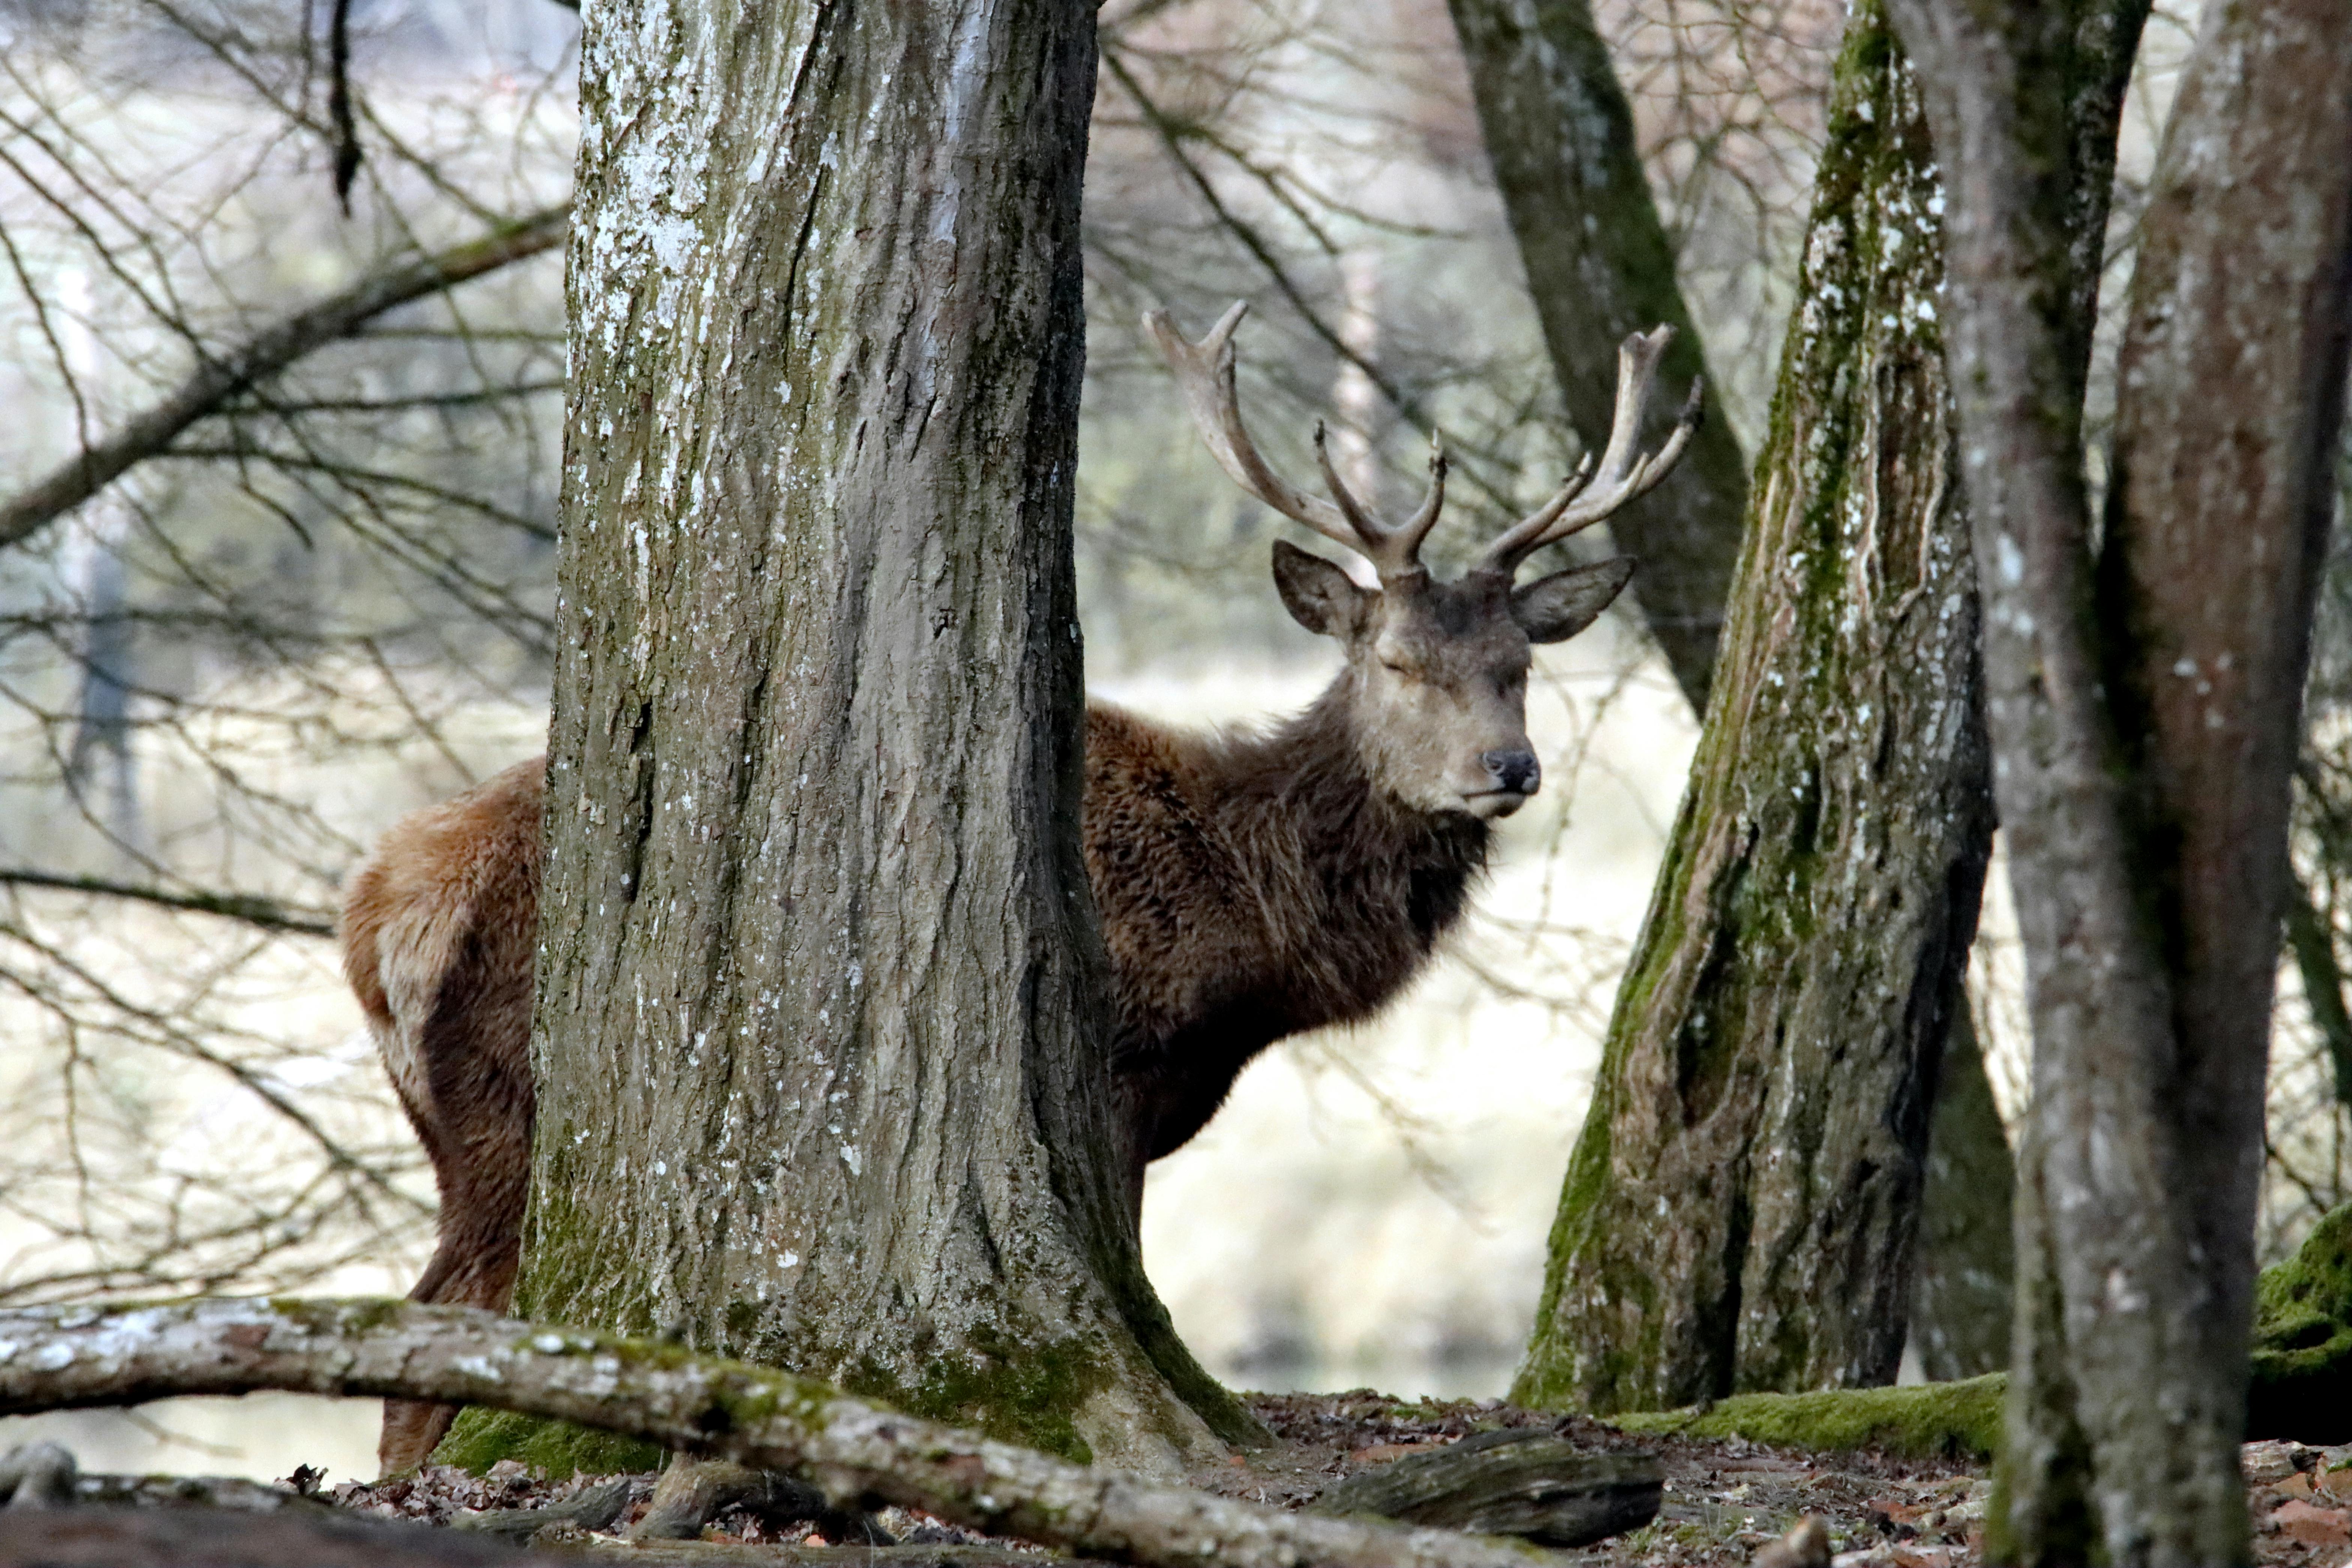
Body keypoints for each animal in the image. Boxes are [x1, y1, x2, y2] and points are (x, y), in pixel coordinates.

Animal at [341, 302, 1699, 1478]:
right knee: (439, 1317)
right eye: (1402, 663)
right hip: (507, 1102)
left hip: (440, 1117)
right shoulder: (1119, 1069)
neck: (1247, 932)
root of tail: (378, 920)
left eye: (1522, 665)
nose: (1508, 770)